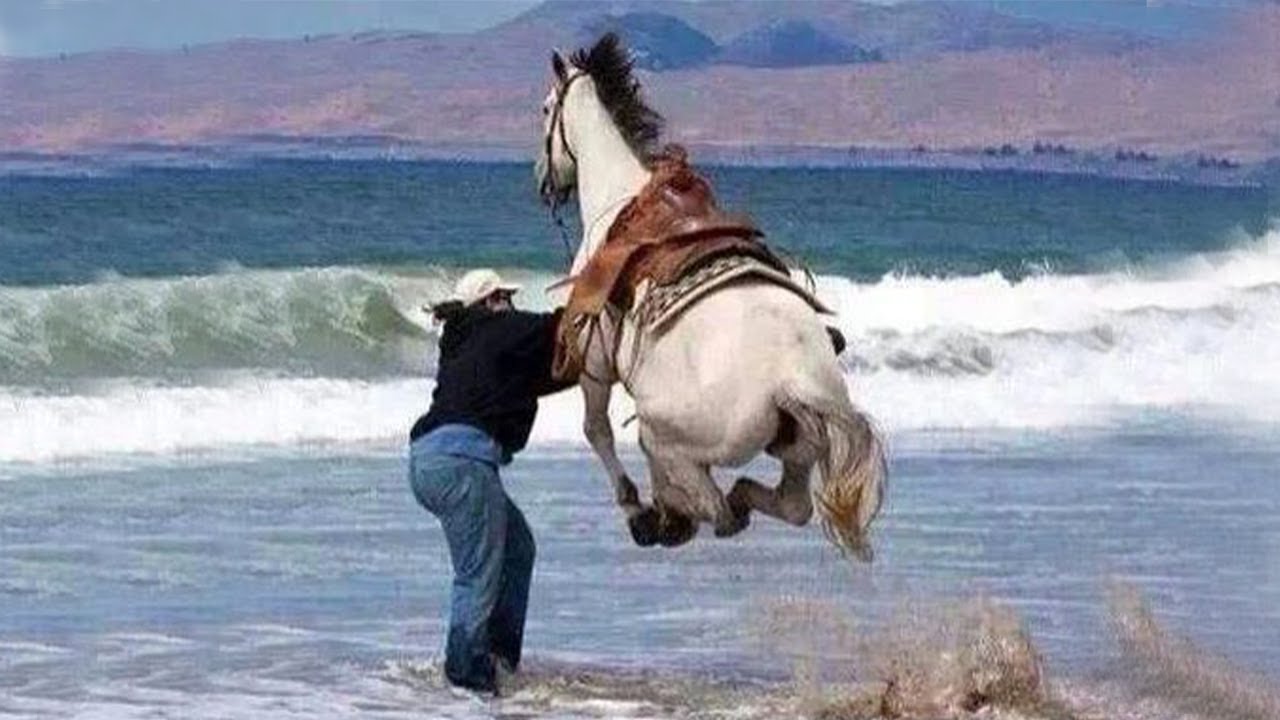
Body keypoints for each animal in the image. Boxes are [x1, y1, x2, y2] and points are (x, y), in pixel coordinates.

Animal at [534, 33, 887, 560]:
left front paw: (636, 510)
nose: (541, 179)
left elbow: (596, 431)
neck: (618, 198)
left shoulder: (593, 360)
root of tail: (791, 382)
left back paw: (670, 517)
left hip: (667, 432)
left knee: (713, 505)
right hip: (797, 449)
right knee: (788, 506)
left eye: (544, 109)